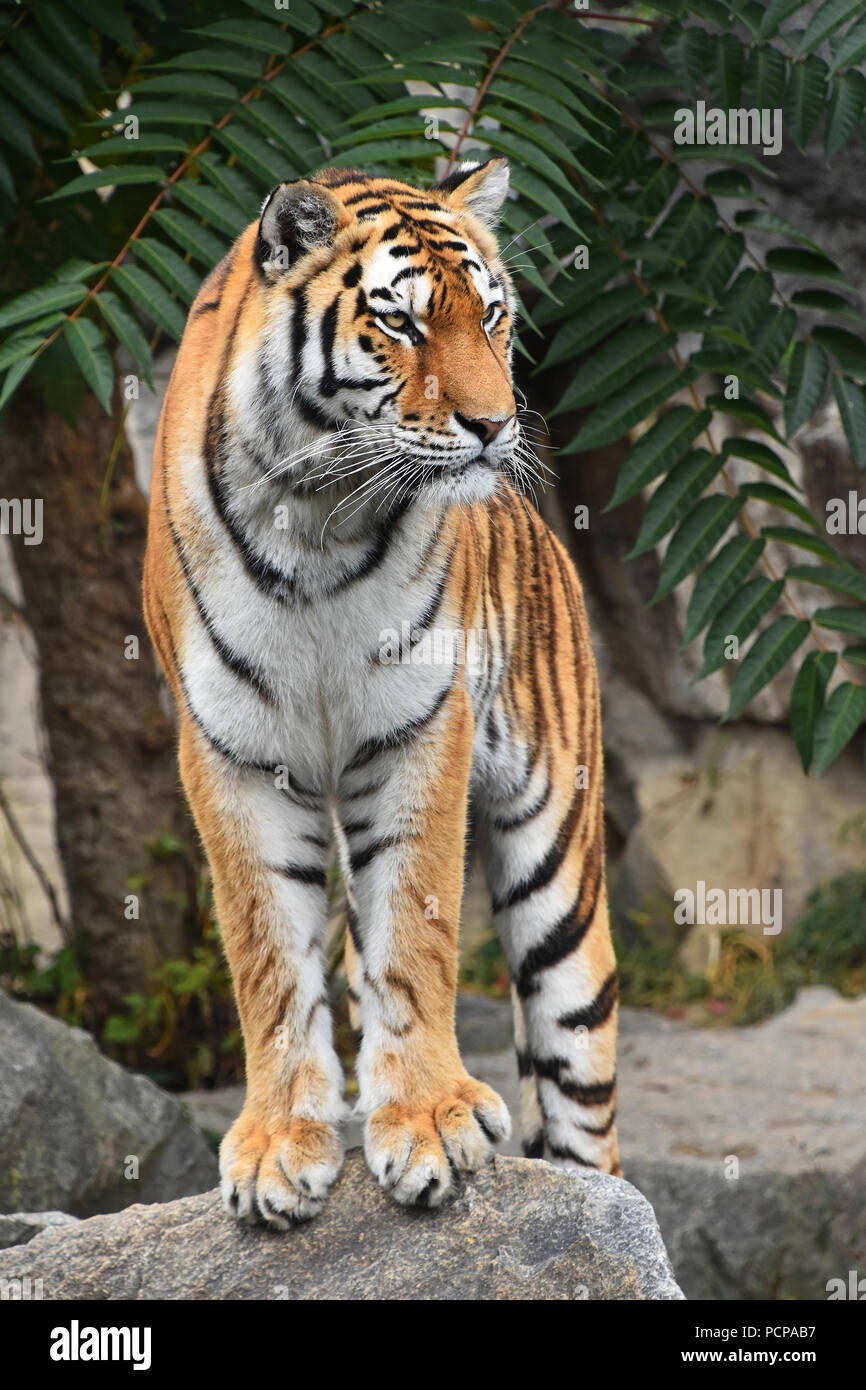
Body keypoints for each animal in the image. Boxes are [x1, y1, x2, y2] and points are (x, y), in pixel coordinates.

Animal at [143, 157, 620, 1228]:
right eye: (400, 322)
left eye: (493, 317)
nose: (496, 426)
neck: (317, 516)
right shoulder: (232, 751)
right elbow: (268, 954)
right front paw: (279, 1145)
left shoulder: (416, 727)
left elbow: (418, 924)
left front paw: (433, 1120)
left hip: (562, 876)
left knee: (584, 1108)